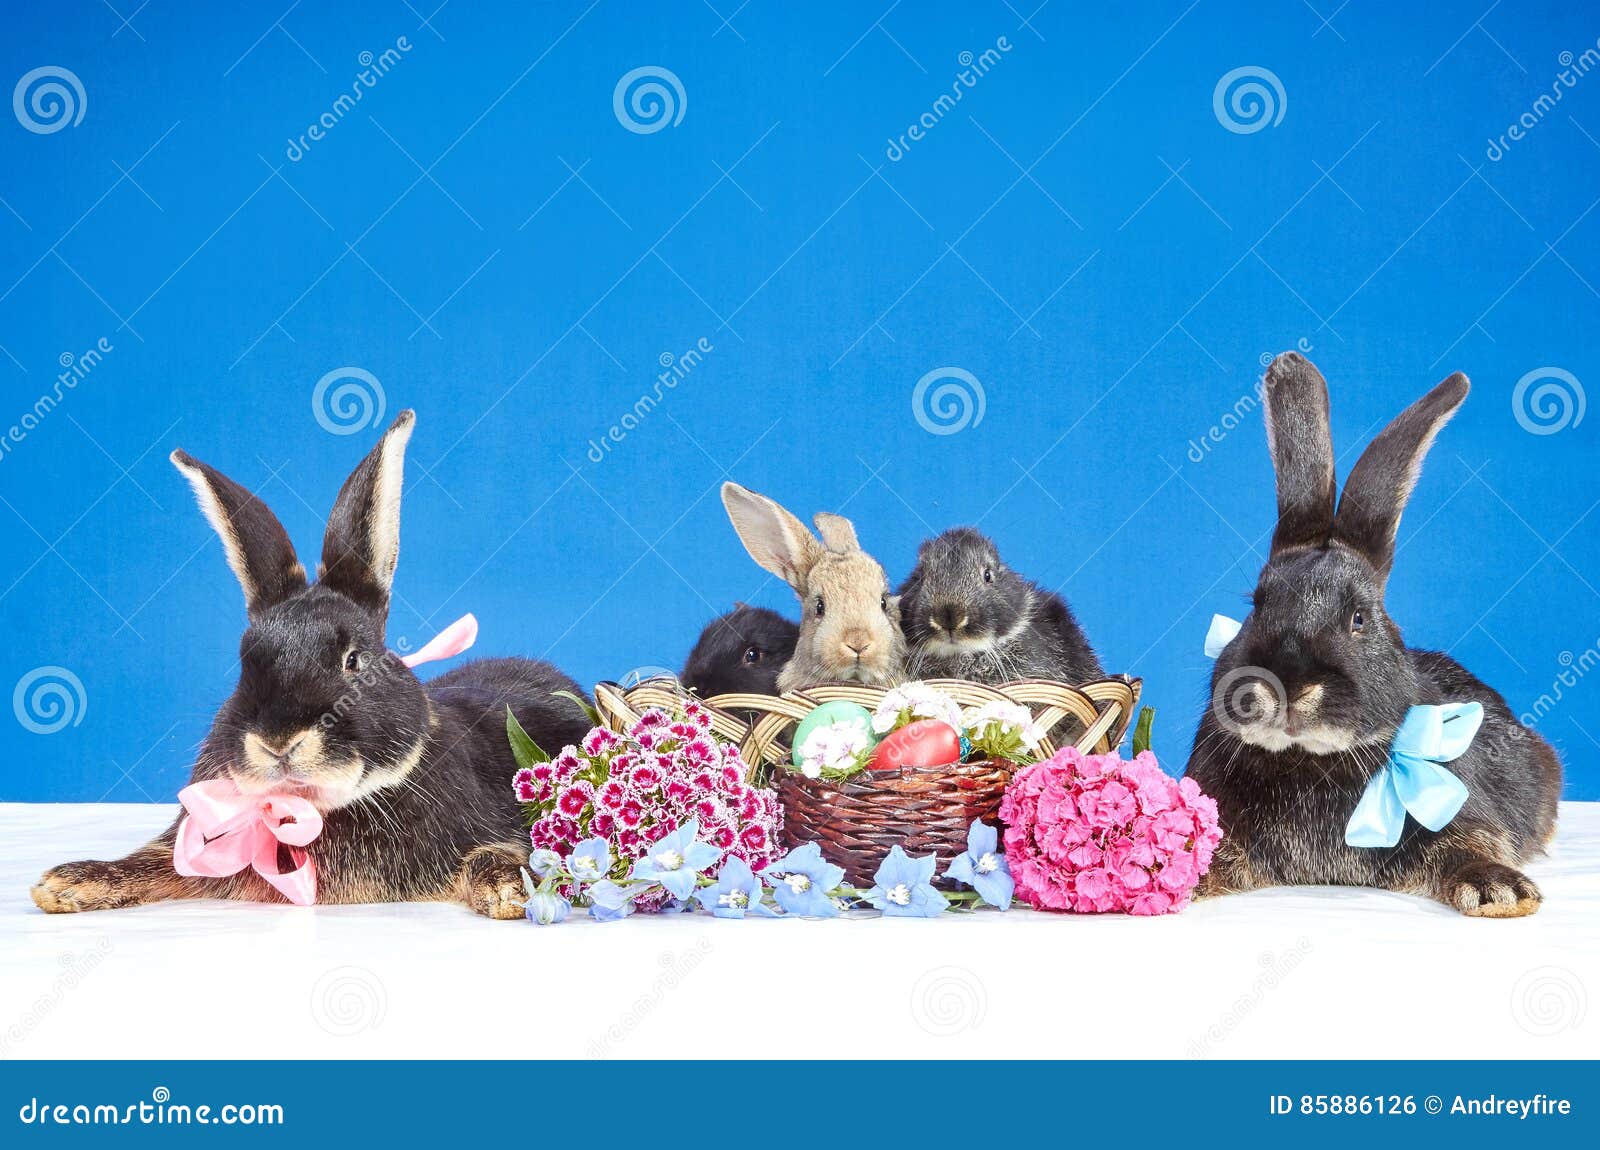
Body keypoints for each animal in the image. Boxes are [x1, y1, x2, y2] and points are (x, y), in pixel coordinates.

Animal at [29, 411, 593, 919]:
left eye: (353, 660)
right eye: (245, 663)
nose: (279, 740)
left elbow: (499, 853)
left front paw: (509, 889)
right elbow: (151, 863)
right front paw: (65, 885)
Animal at [1188, 352, 1562, 917]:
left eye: (1359, 618)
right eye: (1258, 604)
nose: (1287, 685)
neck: (1311, 759)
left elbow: (1472, 843)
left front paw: (1501, 892)